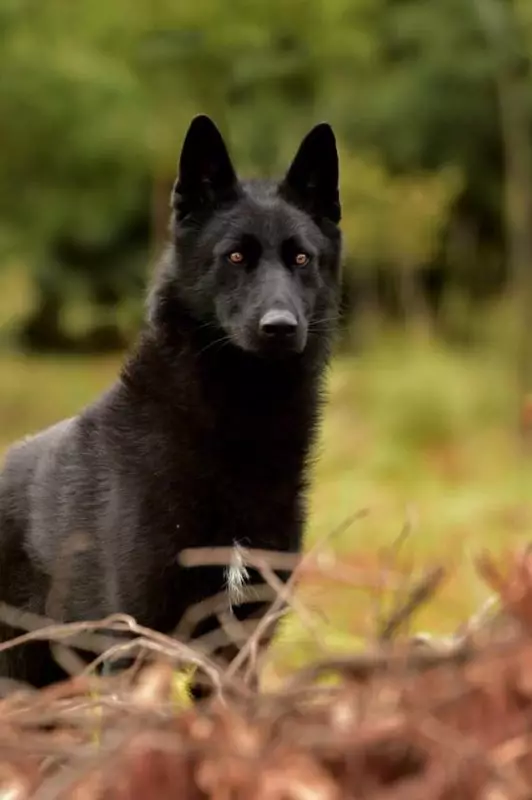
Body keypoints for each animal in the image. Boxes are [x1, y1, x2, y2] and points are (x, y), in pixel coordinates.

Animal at [0, 112, 342, 688]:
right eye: (235, 256)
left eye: (301, 258)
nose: (279, 327)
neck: (240, 423)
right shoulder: (133, 641)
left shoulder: (237, 645)